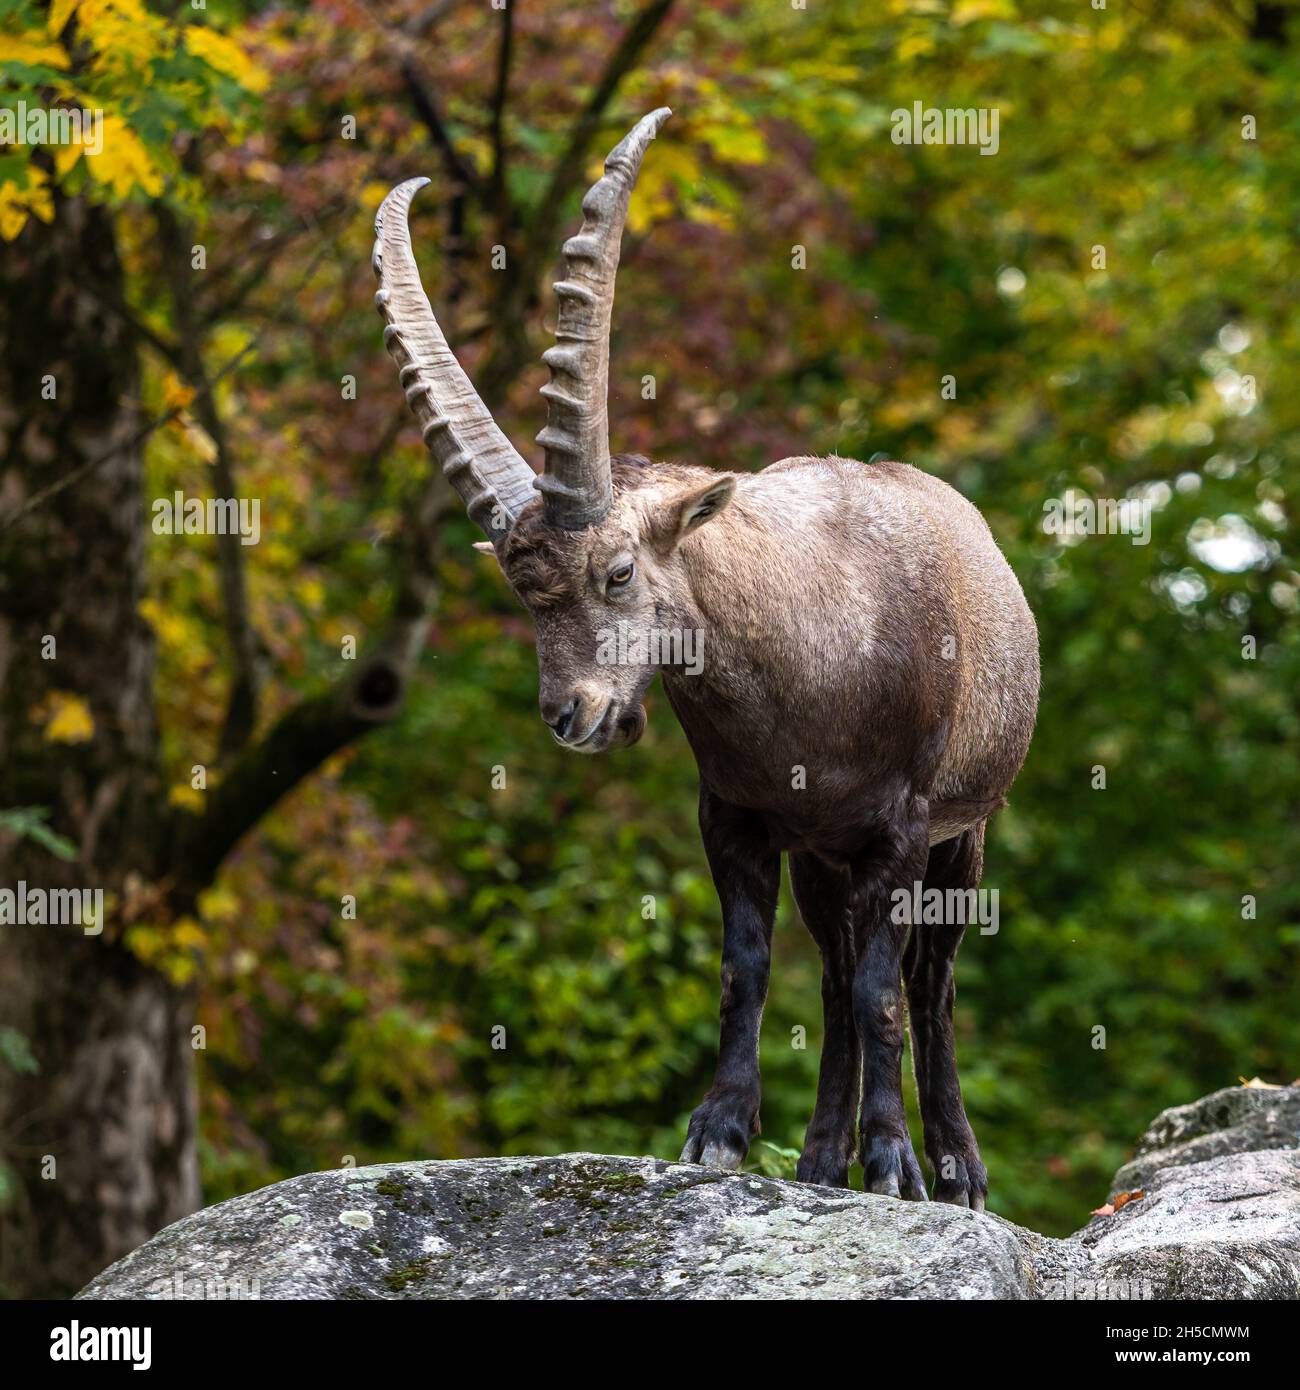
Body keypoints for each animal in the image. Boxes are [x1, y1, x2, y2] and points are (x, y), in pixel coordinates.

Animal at [374, 109, 1039, 1206]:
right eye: (521, 591)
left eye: (614, 572)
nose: (570, 715)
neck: (808, 656)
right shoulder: (737, 818)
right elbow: (747, 967)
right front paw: (719, 1133)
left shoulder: (899, 829)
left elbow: (884, 991)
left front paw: (894, 1163)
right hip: (821, 853)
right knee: (832, 966)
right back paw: (818, 1159)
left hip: (963, 831)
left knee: (926, 980)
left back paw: (953, 1165)